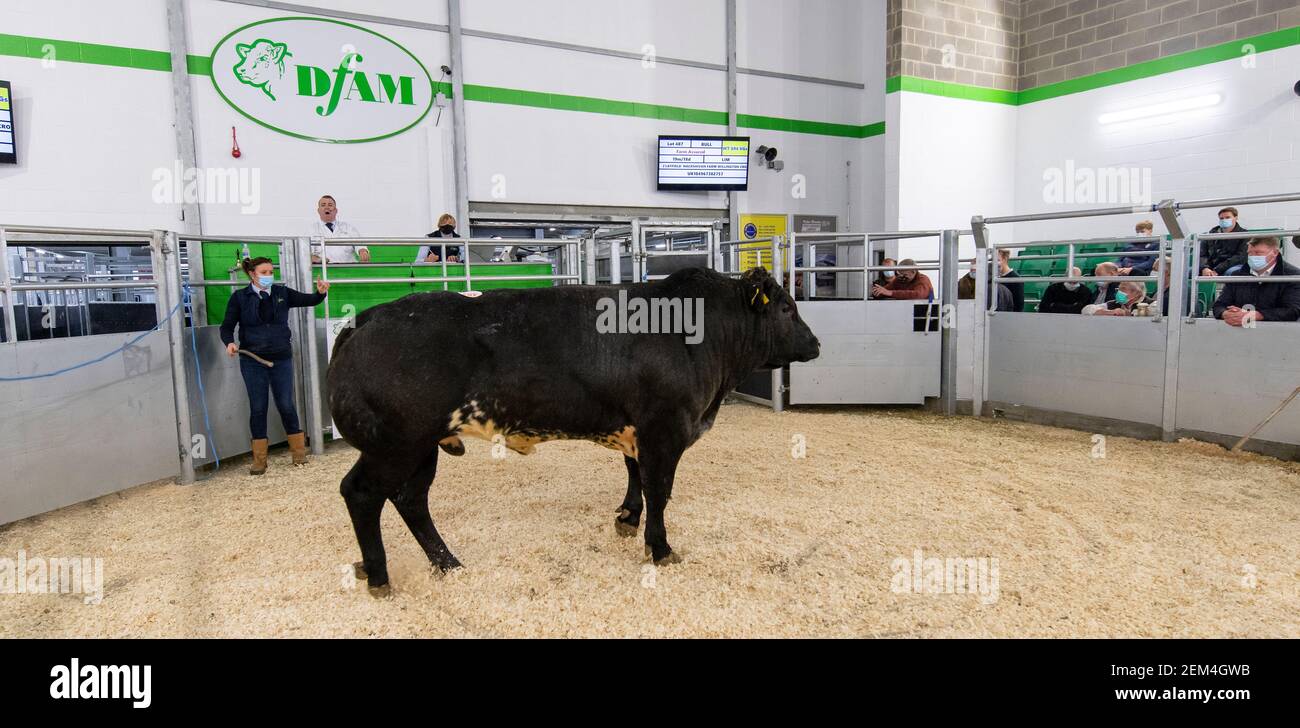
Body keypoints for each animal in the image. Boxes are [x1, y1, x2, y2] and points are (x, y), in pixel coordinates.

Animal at [326, 267, 820, 596]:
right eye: (786, 307)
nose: (816, 343)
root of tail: (367, 317)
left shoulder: (633, 428)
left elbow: (635, 476)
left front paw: (627, 517)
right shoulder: (665, 429)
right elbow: (659, 489)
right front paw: (660, 548)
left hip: (419, 446)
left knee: (410, 500)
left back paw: (446, 564)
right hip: (396, 445)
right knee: (362, 494)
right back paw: (380, 575)